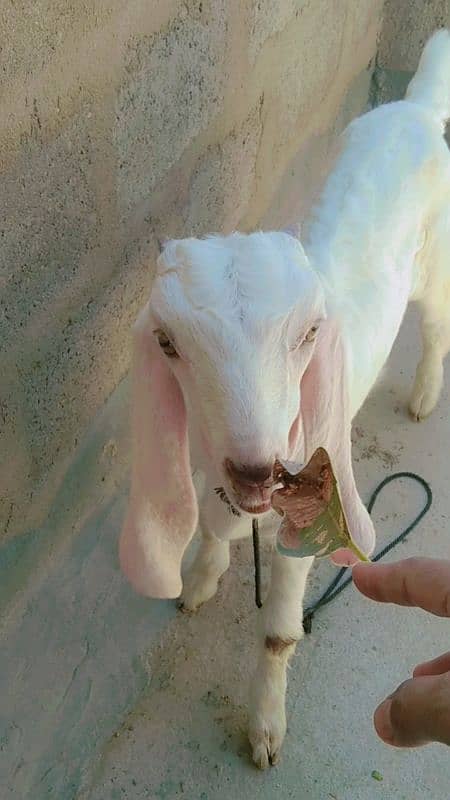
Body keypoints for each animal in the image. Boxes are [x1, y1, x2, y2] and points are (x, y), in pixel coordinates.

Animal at [120, 30, 450, 768]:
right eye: (168, 343)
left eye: (308, 334)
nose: (258, 470)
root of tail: (416, 107)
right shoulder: (215, 468)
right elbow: (213, 525)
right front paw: (202, 580)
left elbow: (277, 632)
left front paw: (265, 728)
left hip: (440, 265)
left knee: (439, 326)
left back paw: (423, 396)